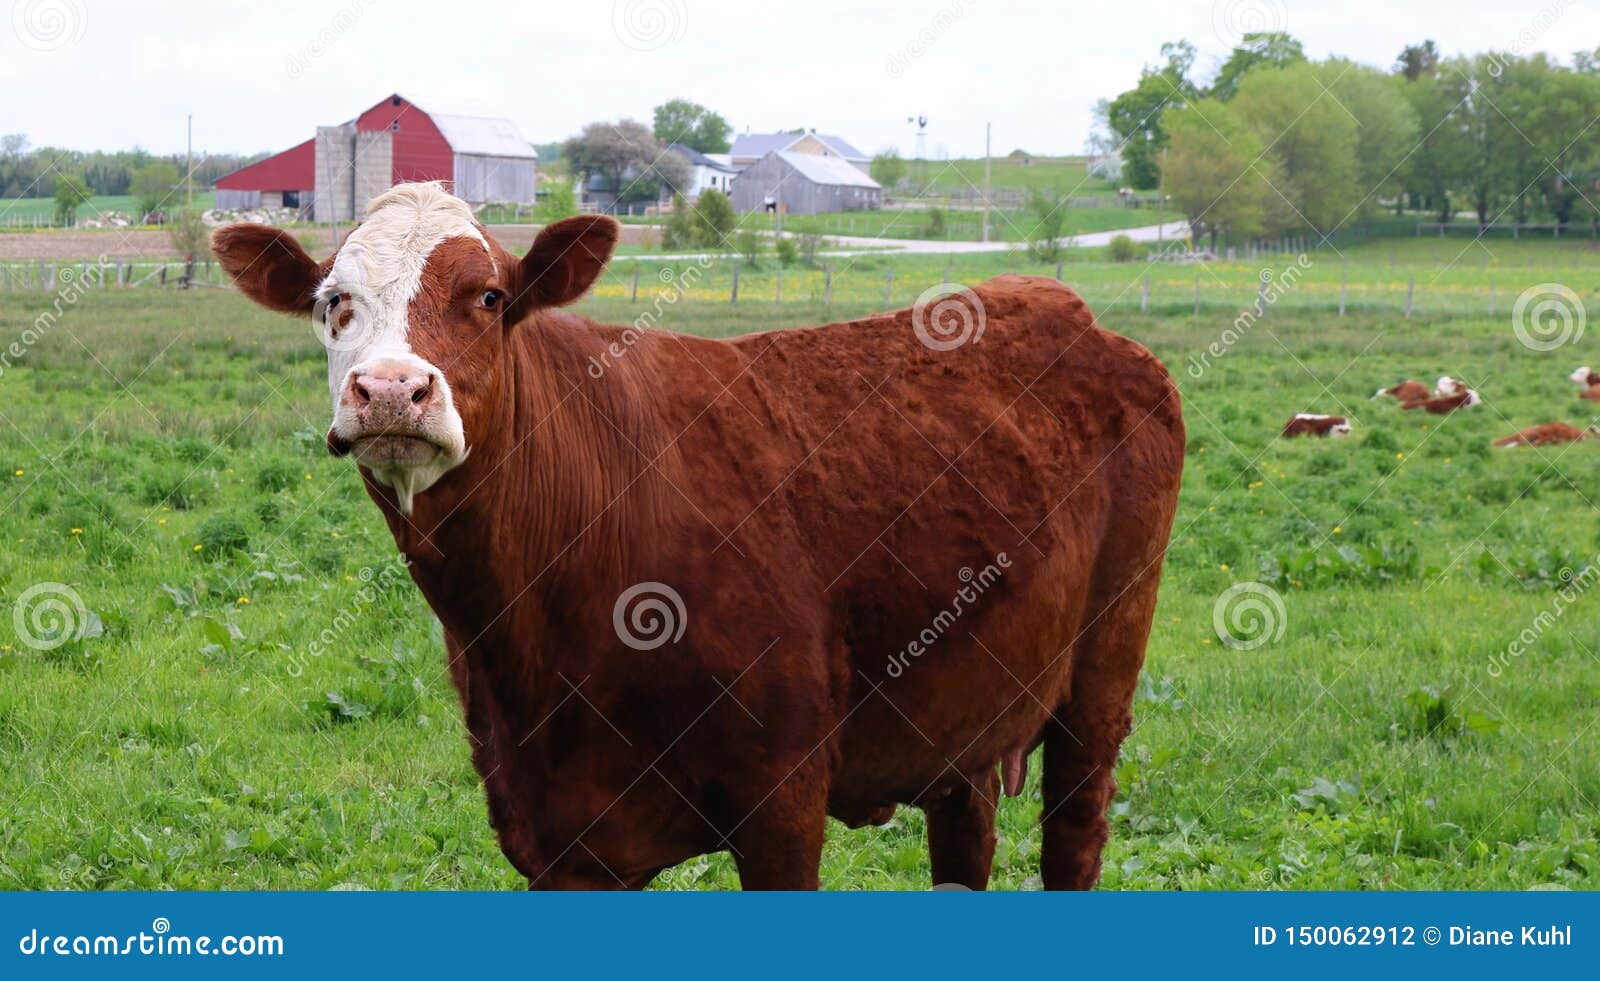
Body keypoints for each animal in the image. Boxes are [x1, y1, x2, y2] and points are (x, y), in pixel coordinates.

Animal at [210, 182, 1186, 891]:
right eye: (333, 301)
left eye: (487, 296)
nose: (389, 390)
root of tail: (1068, 309)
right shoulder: (556, 838)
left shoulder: (784, 803)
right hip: (966, 712)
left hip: (1101, 685)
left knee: (1074, 838)